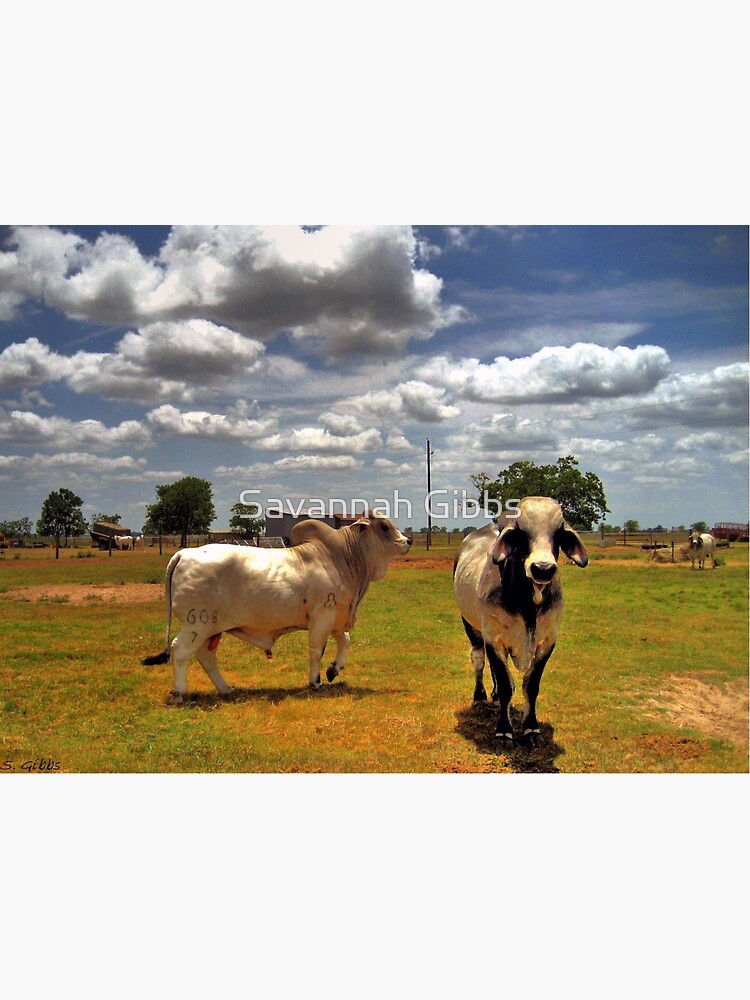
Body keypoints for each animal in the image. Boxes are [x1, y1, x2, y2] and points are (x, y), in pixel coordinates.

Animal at [142, 513, 412, 704]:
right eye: (384, 526)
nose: (408, 541)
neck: (343, 557)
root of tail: (184, 553)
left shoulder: (337, 615)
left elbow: (345, 640)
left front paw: (334, 670)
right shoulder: (323, 616)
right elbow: (317, 650)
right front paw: (316, 682)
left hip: (210, 629)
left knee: (205, 657)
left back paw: (226, 688)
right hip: (197, 623)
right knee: (180, 651)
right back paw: (179, 693)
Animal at [453, 496, 588, 747]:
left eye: (558, 532)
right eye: (521, 533)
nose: (543, 569)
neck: (528, 602)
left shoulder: (548, 640)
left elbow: (530, 685)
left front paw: (531, 729)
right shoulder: (493, 638)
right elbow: (507, 685)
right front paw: (504, 731)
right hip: (470, 624)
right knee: (478, 659)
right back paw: (481, 697)